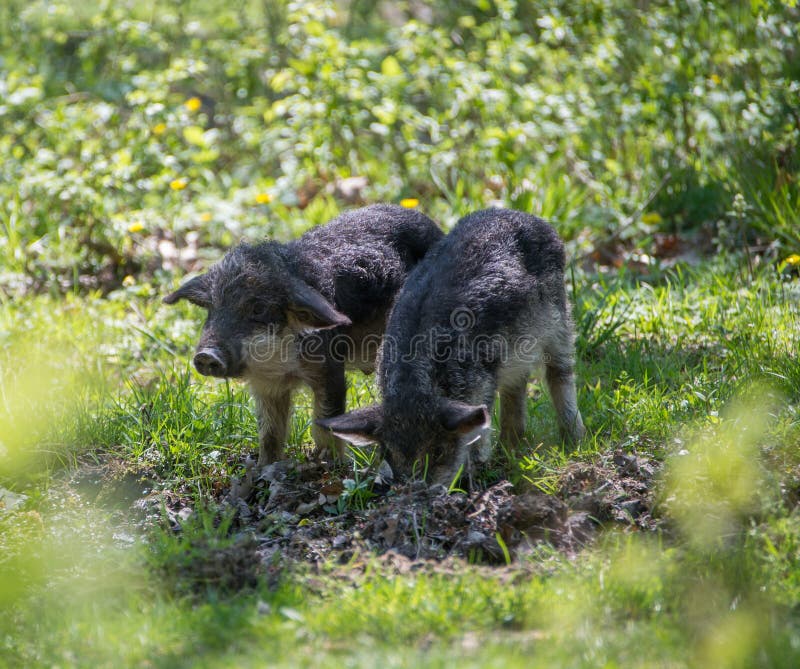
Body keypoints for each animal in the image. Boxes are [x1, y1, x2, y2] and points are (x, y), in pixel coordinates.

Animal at [163, 204, 443, 466]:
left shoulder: (329, 369)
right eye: (212, 307)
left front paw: (327, 463)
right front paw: (264, 468)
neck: (279, 364)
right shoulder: (266, 386)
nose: (206, 355)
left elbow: (325, 420)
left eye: (258, 308)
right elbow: (270, 433)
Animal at [317, 208, 586, 484]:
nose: (415, 488)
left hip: (559, 317)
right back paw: (510, 449)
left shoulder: (482, 383)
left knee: (559, 373)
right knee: (516, 388)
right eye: (387, 452)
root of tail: (525, 216)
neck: (414, 388)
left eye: (437, 451)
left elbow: (478, 430)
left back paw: (573, 441)